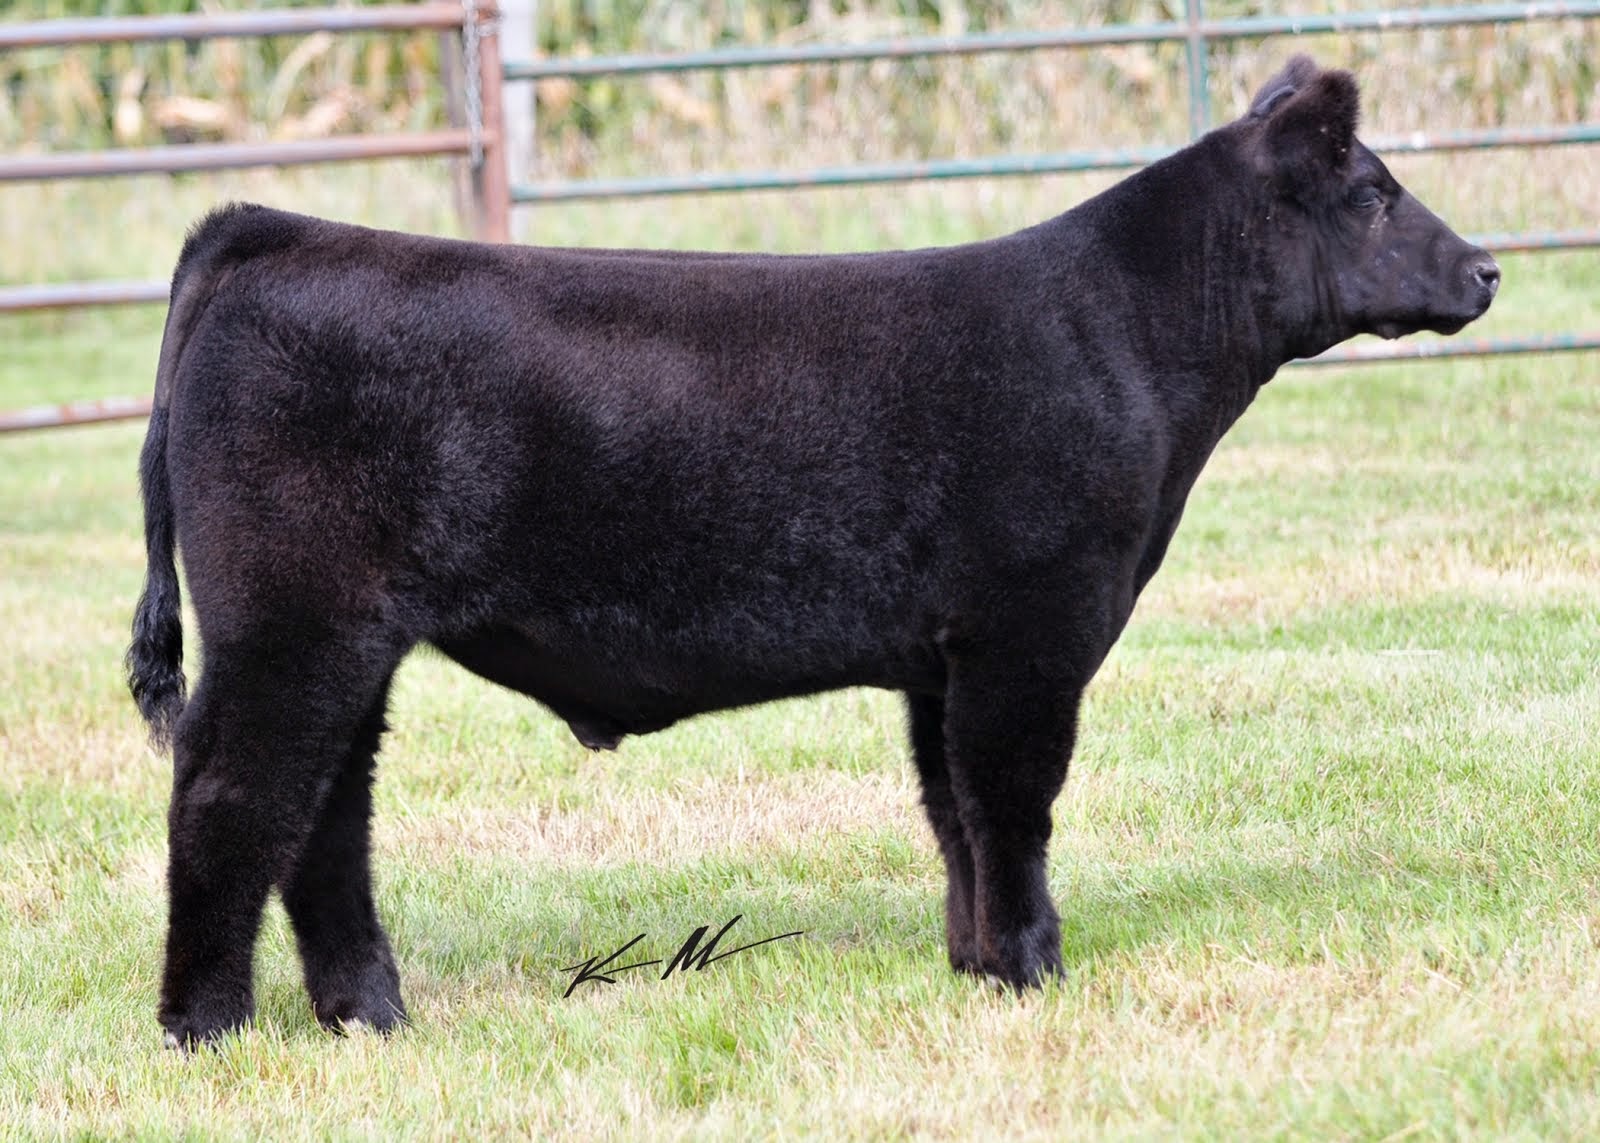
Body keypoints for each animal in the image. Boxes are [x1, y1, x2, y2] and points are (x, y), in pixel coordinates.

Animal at [128, 55, 1499, 1047]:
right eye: (1374, 192)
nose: (1487, 267)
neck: (1125, 335)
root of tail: (270, 230)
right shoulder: (1031, 626)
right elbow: (1014, 801)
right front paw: (1035, 973)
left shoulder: (943, 654)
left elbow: (952, 809)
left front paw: (975, 963)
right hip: (291, 619)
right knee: (232, 794)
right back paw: (207, 1028)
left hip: (350, 639)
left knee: (323, 814)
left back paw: (369, 1016)